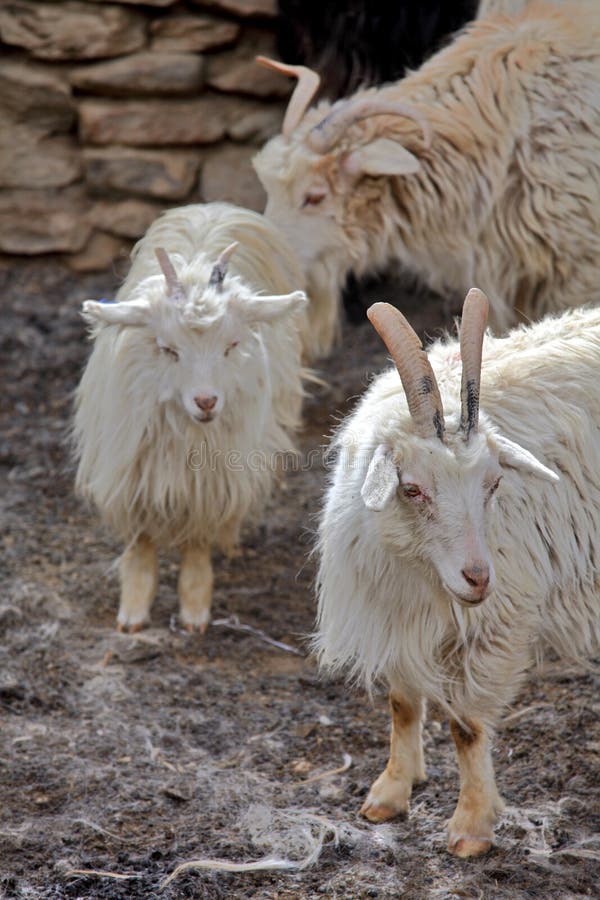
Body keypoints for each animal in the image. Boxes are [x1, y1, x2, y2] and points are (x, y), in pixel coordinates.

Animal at [73, 202, 307, 632]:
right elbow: (141, 539)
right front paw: (133, 611)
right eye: (167, 349)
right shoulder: (130, 469)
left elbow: (199, 538)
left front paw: (195, 610)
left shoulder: (213, 479)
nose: (206, 401)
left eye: (231, 345)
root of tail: (215, 208)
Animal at [315, 288, 600, 856]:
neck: (416, 570)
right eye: (411, 488)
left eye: (494, 483)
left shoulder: (494, 625)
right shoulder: (394, 615)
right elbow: (402, 704)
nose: (478, 578)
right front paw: (389, 794)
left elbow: (466, 728)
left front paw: (471, 827)